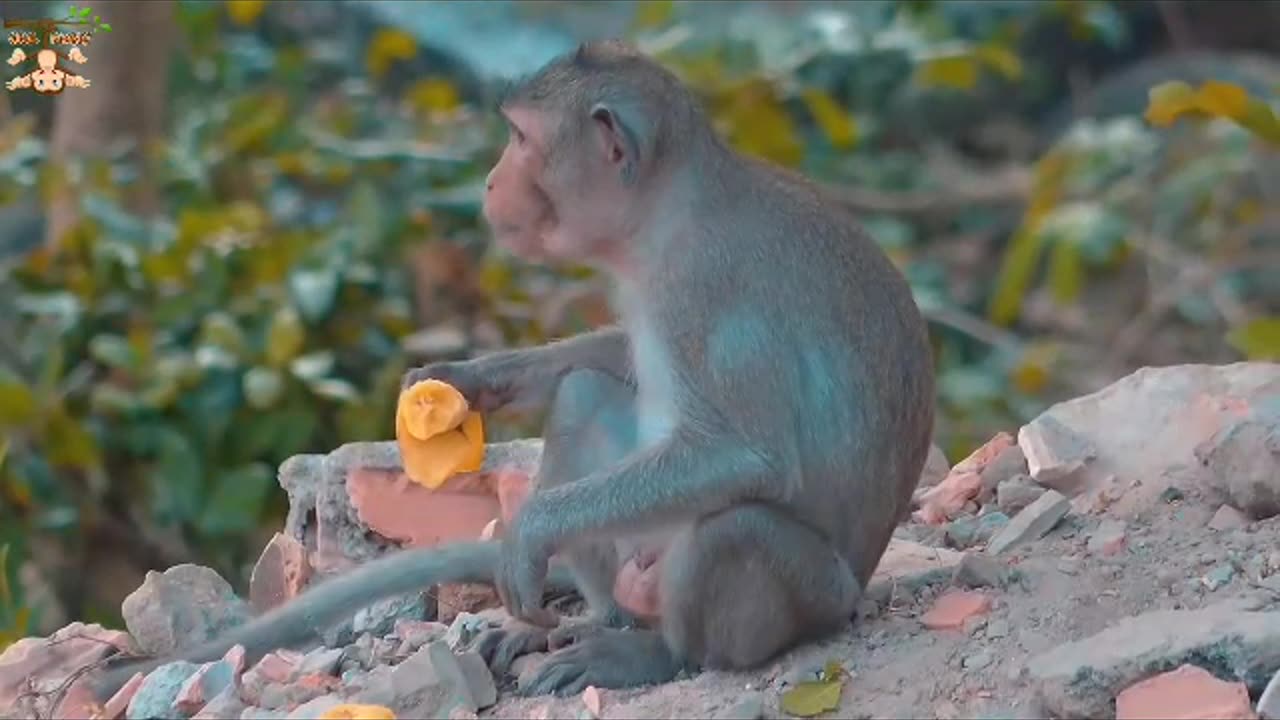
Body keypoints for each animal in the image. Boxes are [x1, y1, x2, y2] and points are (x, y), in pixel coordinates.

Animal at [92, 39, 934, 701]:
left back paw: (652, 651)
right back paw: (589, 617)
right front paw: (472, 380)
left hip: (814, 594)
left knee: (737, 529)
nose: (491, 182)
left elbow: (748, 456)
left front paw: (529, 529)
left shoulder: (706, 286)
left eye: (523, 141)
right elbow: (618, 358)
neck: (667, 214)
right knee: (587, 398)